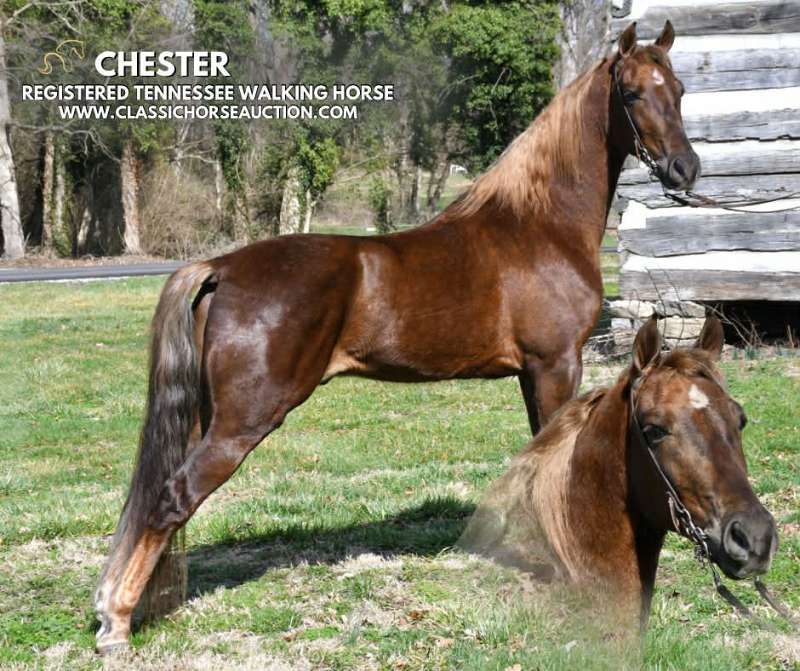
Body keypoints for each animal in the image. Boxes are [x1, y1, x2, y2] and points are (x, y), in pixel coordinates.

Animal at [94, 20, 700, 652]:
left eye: (679, 89)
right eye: (631, 93)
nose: (684, 169)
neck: (538, 225)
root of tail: (222, 267)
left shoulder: (533, 374)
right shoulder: (554, 364)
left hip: (204, 418)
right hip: (242, 421)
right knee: (172, 499)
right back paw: (116, 624)